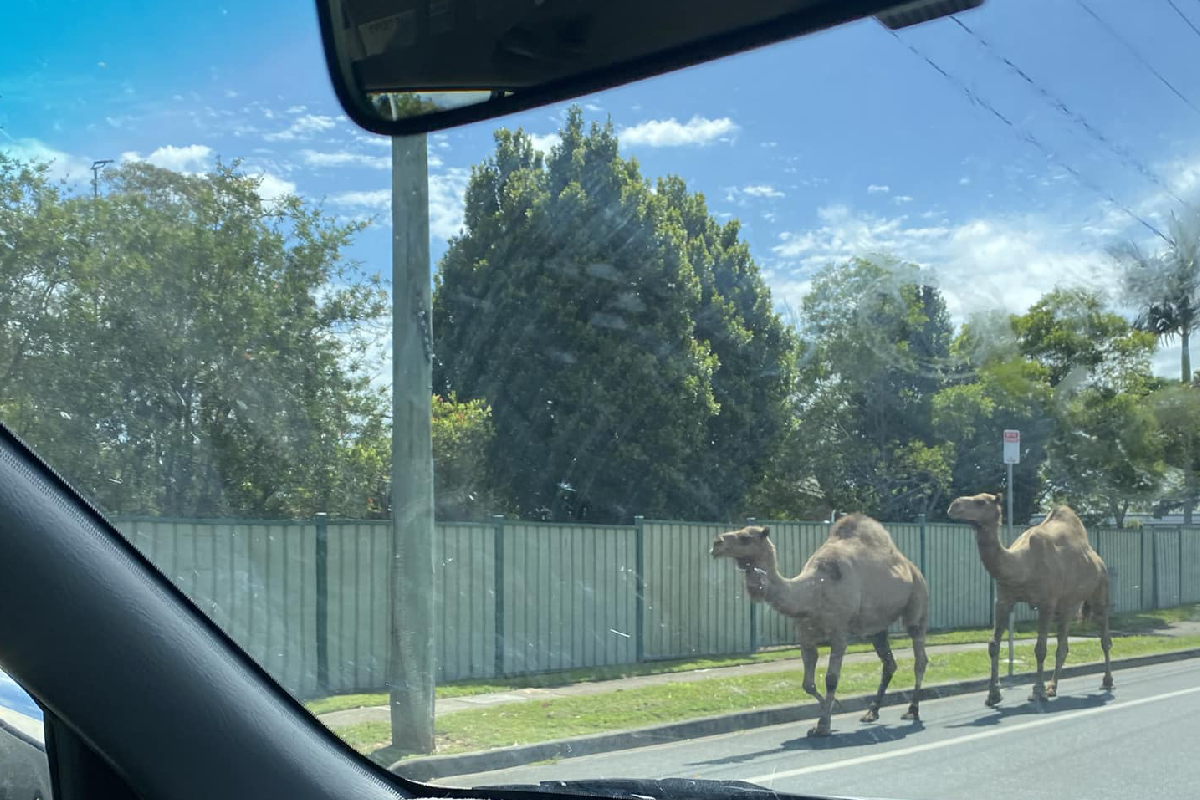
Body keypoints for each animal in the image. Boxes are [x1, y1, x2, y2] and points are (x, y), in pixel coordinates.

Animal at [710, 516, 929, 737]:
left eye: (745, 537)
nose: (716, 544)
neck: (813, 590)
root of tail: (912, 567)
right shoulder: (805, 634)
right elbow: (807, 684)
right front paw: (830, 712)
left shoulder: (840, 633)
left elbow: (831, 678)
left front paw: (824, 724)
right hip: (876, 627)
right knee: (889, 662)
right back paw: (871, 712)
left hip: (917, 601)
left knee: (919, 656)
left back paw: (912, 710)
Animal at [947, 492, 1113, 706]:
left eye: (981, 501)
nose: (953, 505)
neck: (1021, 566)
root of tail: (1097, 559)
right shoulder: (1003, 600)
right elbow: (993, 645)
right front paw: (993, 695)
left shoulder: (1046, 603)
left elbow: (1040, 649)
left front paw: (1036, 692)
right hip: (1068, 605)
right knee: (1063, 645)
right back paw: (1053, 688)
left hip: (1100, 590)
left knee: (1104, 637)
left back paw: (1107, 682)